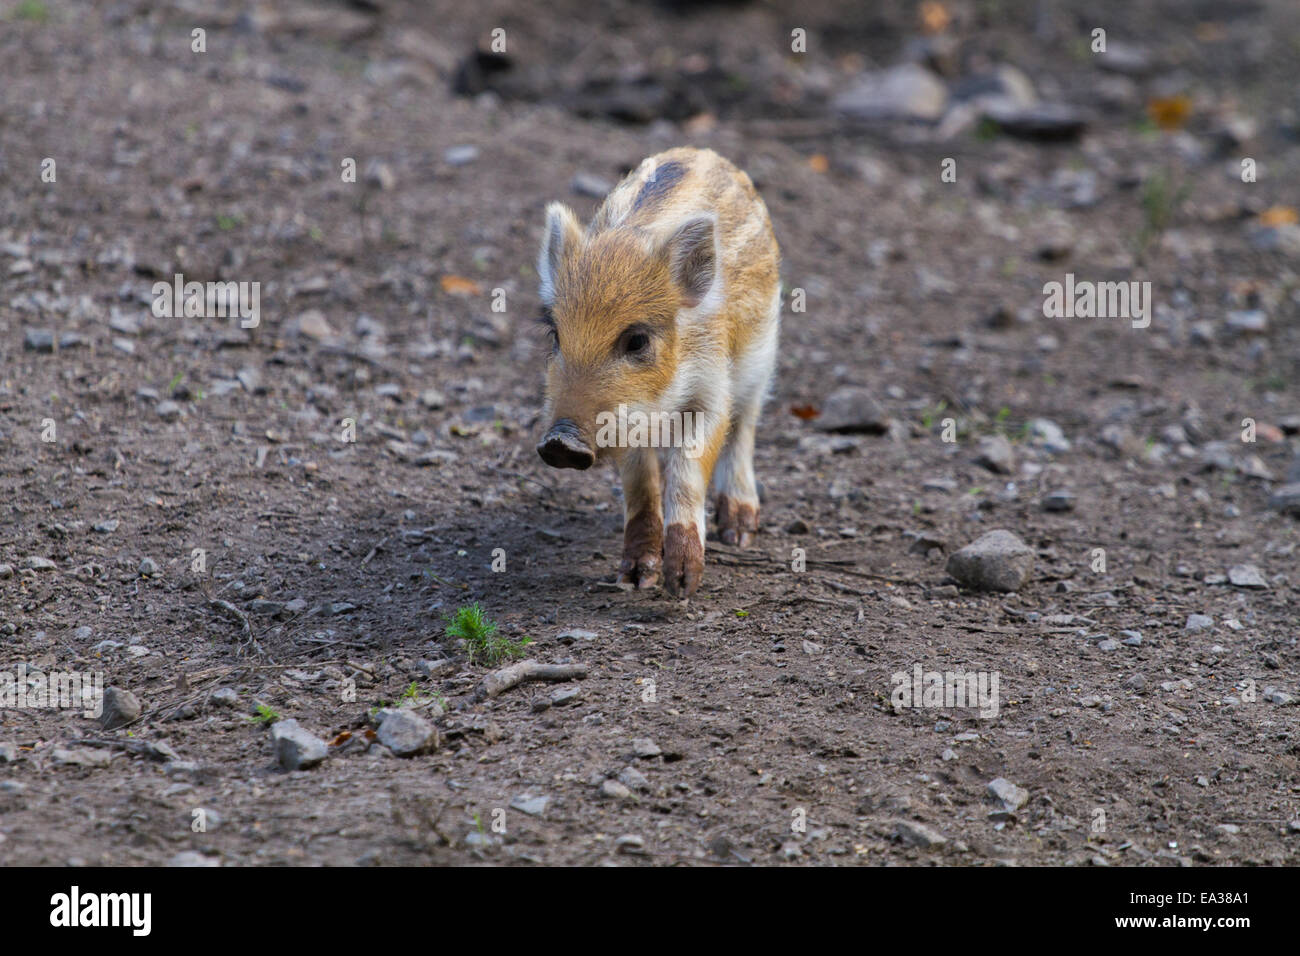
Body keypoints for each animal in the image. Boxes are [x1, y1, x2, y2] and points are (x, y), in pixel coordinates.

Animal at [534, 147, 781, 597]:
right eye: (555, 334)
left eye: (636, 340)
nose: (560, 442)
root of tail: (708, 154)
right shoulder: (629, 416)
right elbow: (641, 484)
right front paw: (634, 579)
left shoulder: (712, 390)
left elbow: (689, 468)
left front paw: (682, 586)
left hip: (761, 357)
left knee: (745, 428)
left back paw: (739, 532)